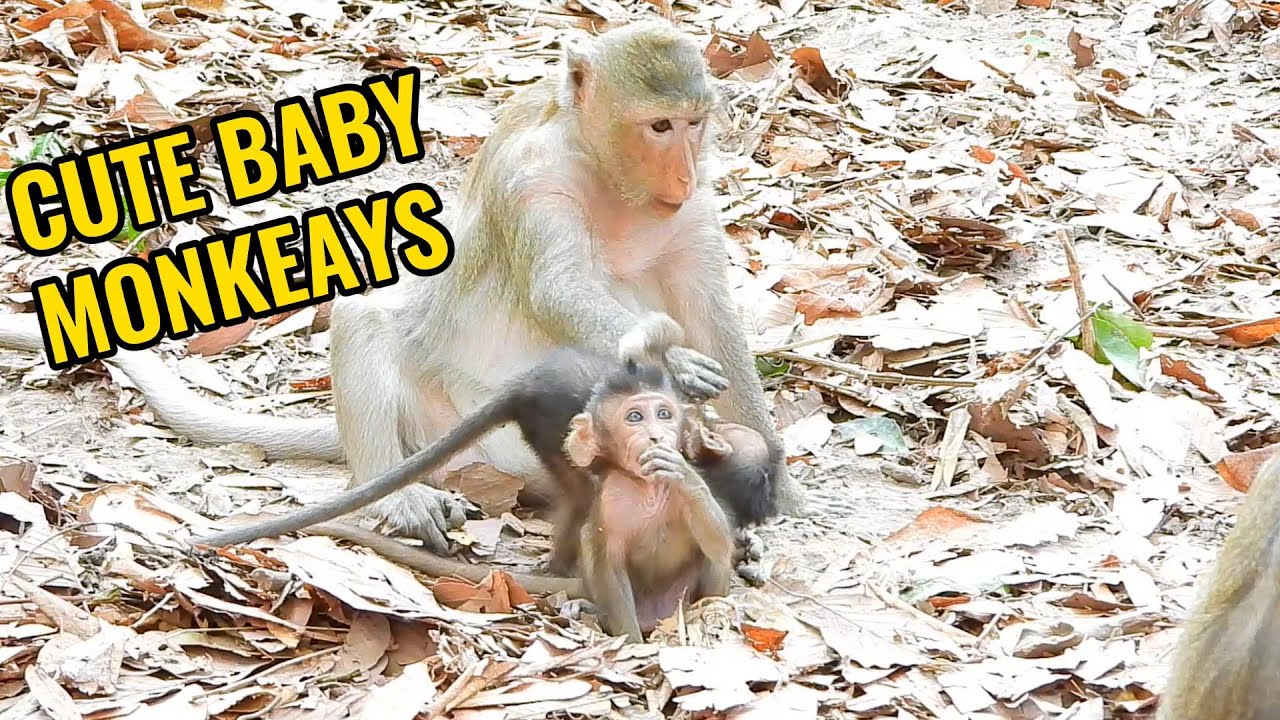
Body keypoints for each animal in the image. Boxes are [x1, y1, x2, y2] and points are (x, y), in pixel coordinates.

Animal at [0, 19, 806, 555]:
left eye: (694, 125)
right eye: (658, 125)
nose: (681, 171)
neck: (611, 179)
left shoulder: (693, 208)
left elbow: (712, 317)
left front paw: (777, 483)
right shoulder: (532, 183)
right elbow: (557, 290)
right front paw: (672, 367)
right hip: (452, 417)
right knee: (367, 321)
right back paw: (406, 492)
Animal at [565, 363, 734, 642]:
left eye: (664, 414)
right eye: (635, 417)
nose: (656, 436)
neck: (648, 487)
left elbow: (720, 545)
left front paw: (682, 474)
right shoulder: (612, 496)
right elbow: (609, 565)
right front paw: (632, 643)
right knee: (588, 536)